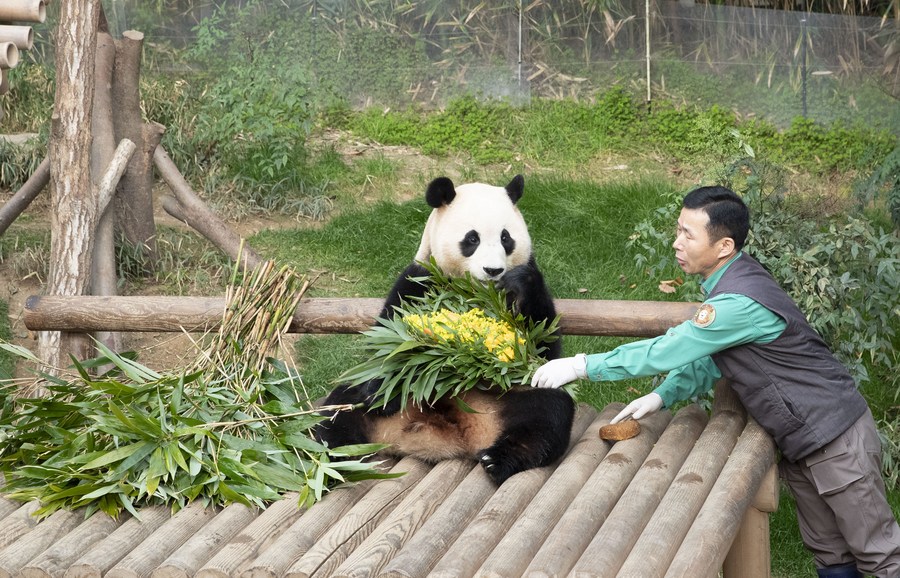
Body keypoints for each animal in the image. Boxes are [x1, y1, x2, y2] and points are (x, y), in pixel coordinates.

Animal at [314, 174, 575, 485]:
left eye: (506, 238)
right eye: (472, 239)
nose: (493, 270)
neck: (472, 293)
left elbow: (544, 343)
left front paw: (518, 281)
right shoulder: (419, 281)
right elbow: (386, 343)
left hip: (512, 395)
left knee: (548, 413)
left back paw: (499, 460)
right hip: (365, 401)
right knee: (341, 411)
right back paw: (332, 460)